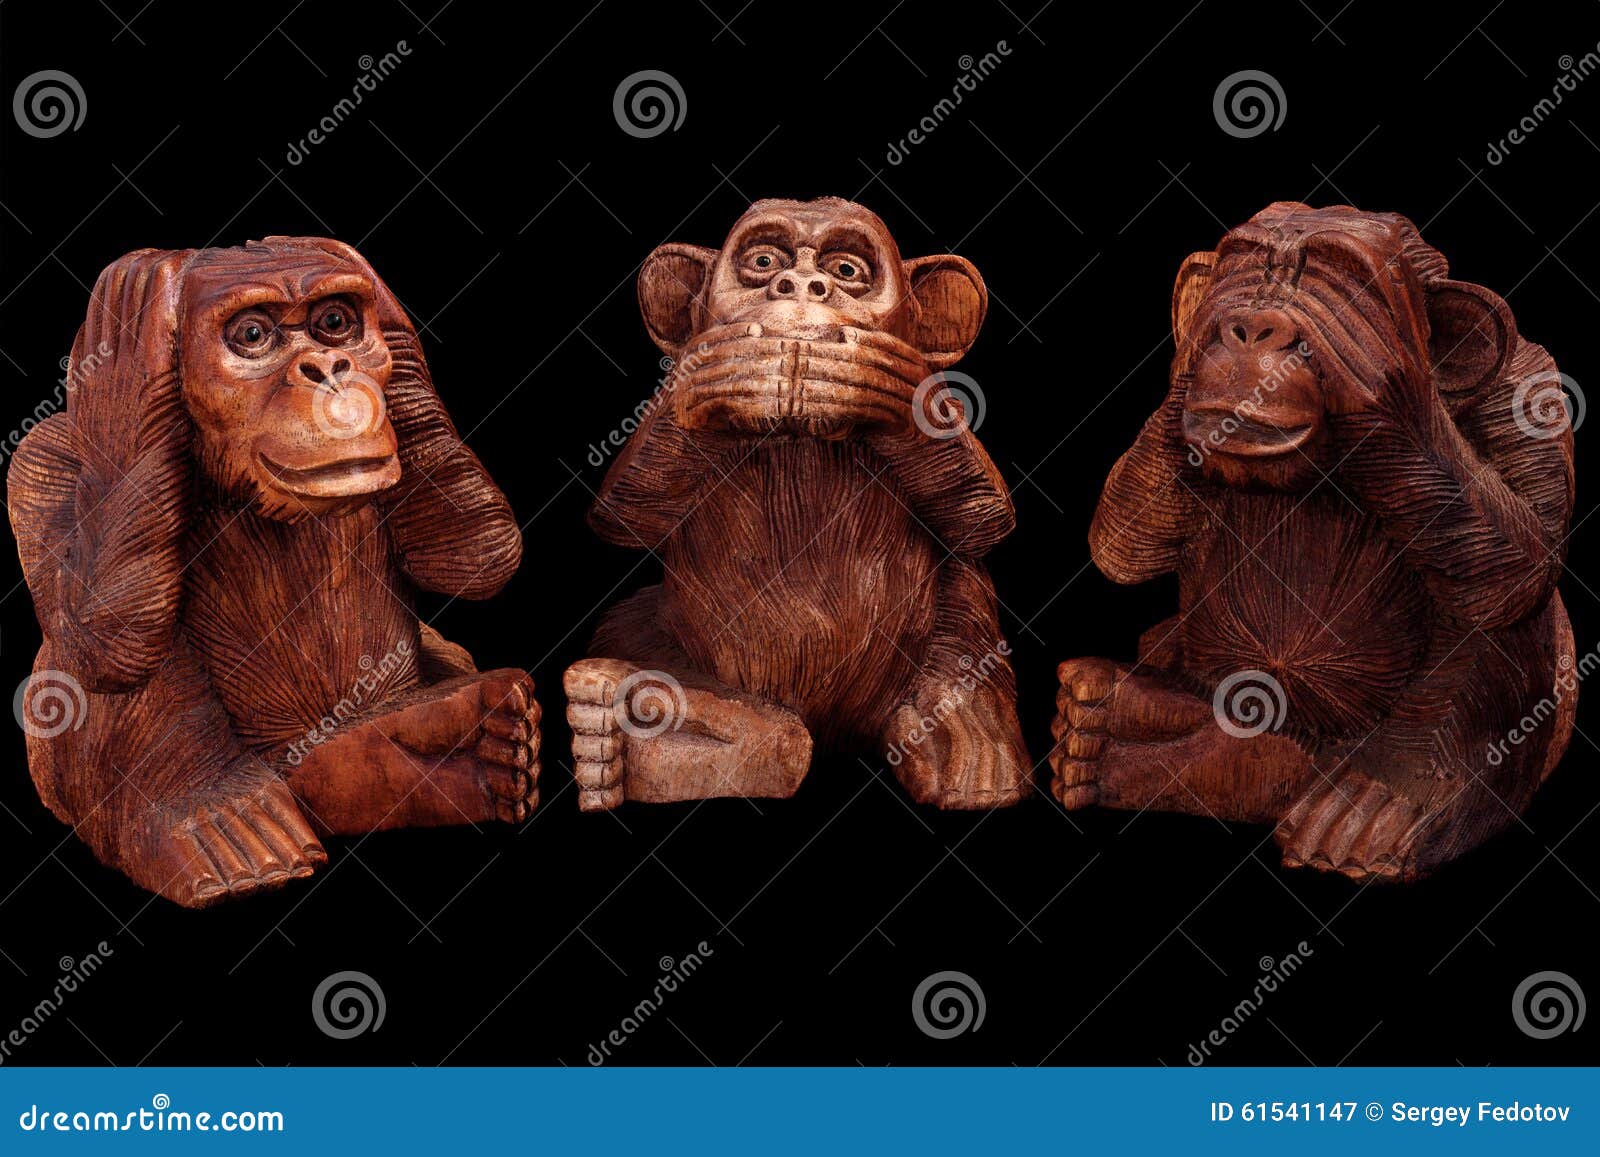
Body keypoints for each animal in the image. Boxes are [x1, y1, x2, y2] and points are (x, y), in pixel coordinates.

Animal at [7, 239, 540, 907]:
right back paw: (214, 809)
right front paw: (125, 378)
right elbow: (99, 645)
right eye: (253, 335)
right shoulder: (40, 460)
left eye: (335, 321)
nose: (328, 367)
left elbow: (475, 555)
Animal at [564, 198, 1030, 811]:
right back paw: (623, 724)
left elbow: (981, 522)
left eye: (847, 271)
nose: (801, 285)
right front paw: (723, 372)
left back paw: (969, 740)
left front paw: (879, 383)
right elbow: (628, 516)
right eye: (763, 261)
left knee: (965, 618)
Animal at [1051, 203, 1576, 882]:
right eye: (1243, 265)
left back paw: (1364, 799)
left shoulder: (1528, 395)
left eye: (1342, 280)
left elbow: (1520, 571)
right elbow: (1126, 535)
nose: (1252, 327)